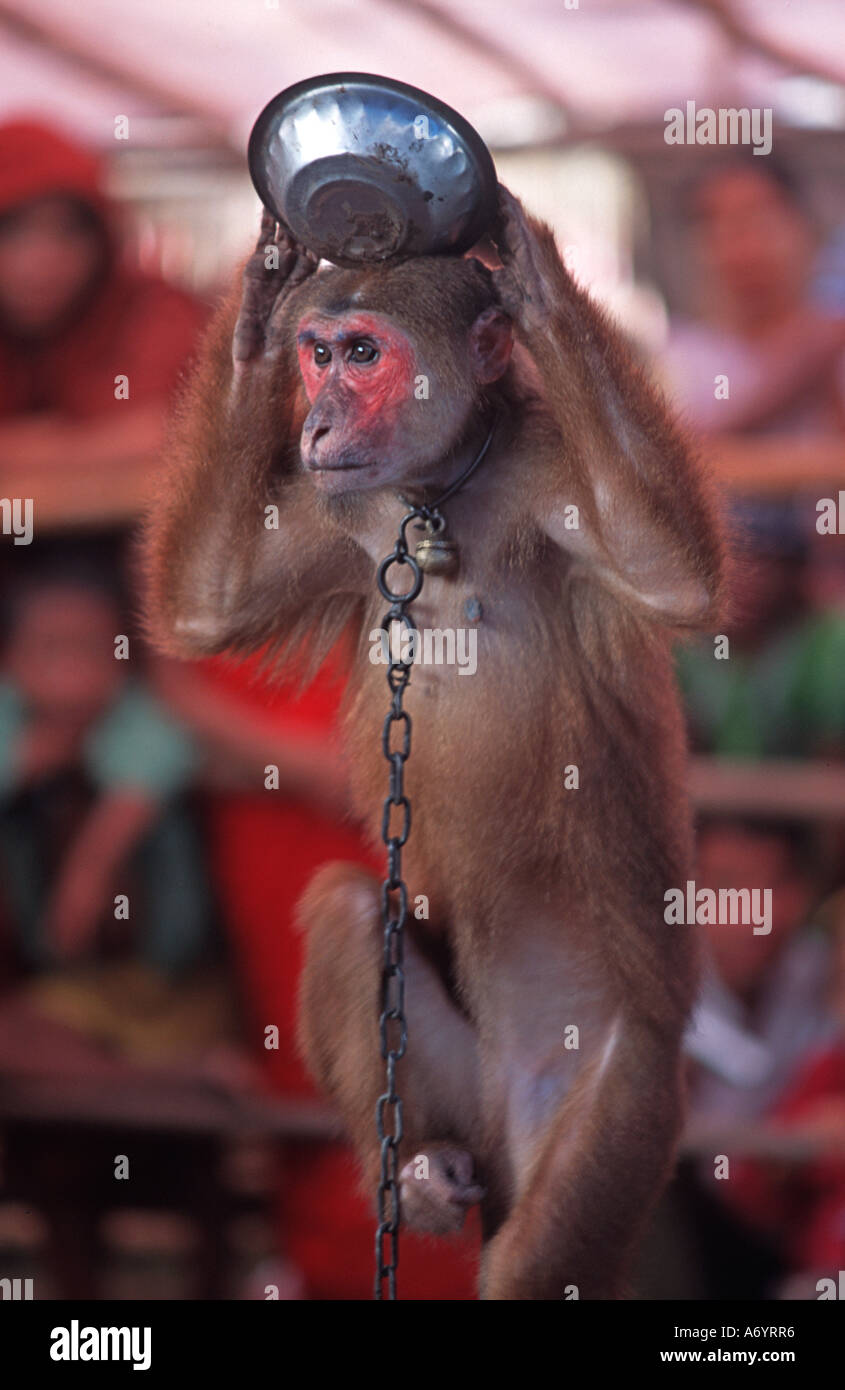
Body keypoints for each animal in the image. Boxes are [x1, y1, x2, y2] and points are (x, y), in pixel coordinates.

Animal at [144, 185, 723, 1300]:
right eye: (319, 355)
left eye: (365, 354)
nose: (319, 418)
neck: (441, 493)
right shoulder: (344, 506)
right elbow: (208, 605)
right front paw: (256, 311)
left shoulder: (547, 473)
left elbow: (668, 573)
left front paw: (531, 271)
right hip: (445, 1092)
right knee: (346, 908)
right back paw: (415, 1173)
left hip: (614, 1096)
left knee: (539, 1253)